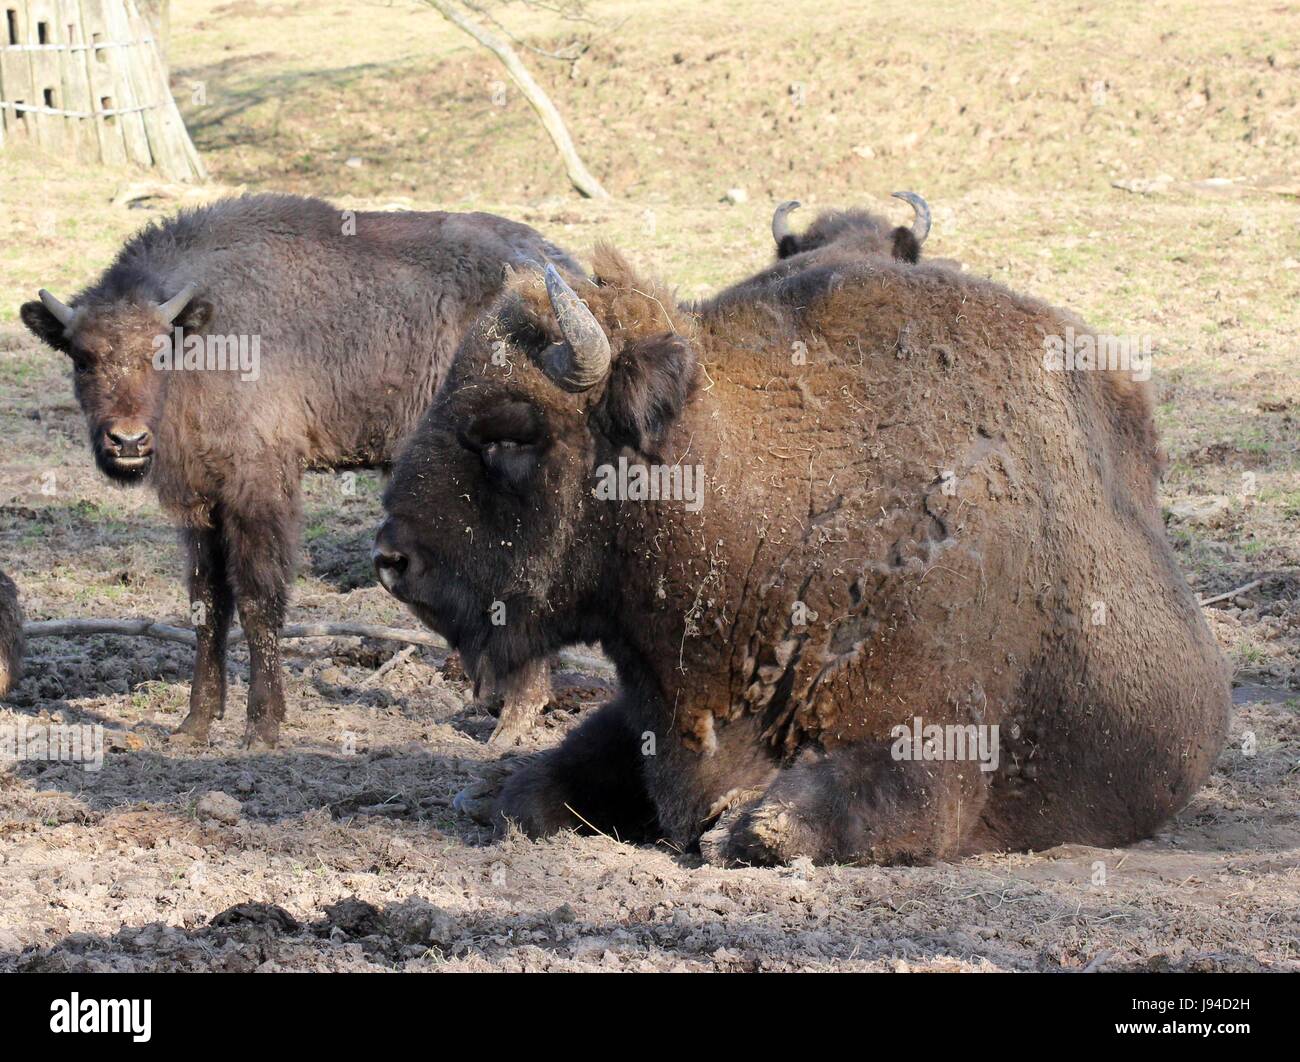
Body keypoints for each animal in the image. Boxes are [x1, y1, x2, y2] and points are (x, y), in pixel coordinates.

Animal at [21, 193, 577, 747]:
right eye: (82, 358)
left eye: (157, 352)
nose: (128, 441)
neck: (199, 336)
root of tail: (562, 267)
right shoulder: (201, 502)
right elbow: (208, 603)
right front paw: (194, 724)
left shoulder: (260, 488)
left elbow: (259, 600)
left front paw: (262, 727)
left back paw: (512, 721)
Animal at [374, 244, 1229, 865]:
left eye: (513, 433)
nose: (391, 558)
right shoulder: (645, 714)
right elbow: (542, 787)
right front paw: (491, 790)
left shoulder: (930, 750)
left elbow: (776, 824)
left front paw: (732, 828)